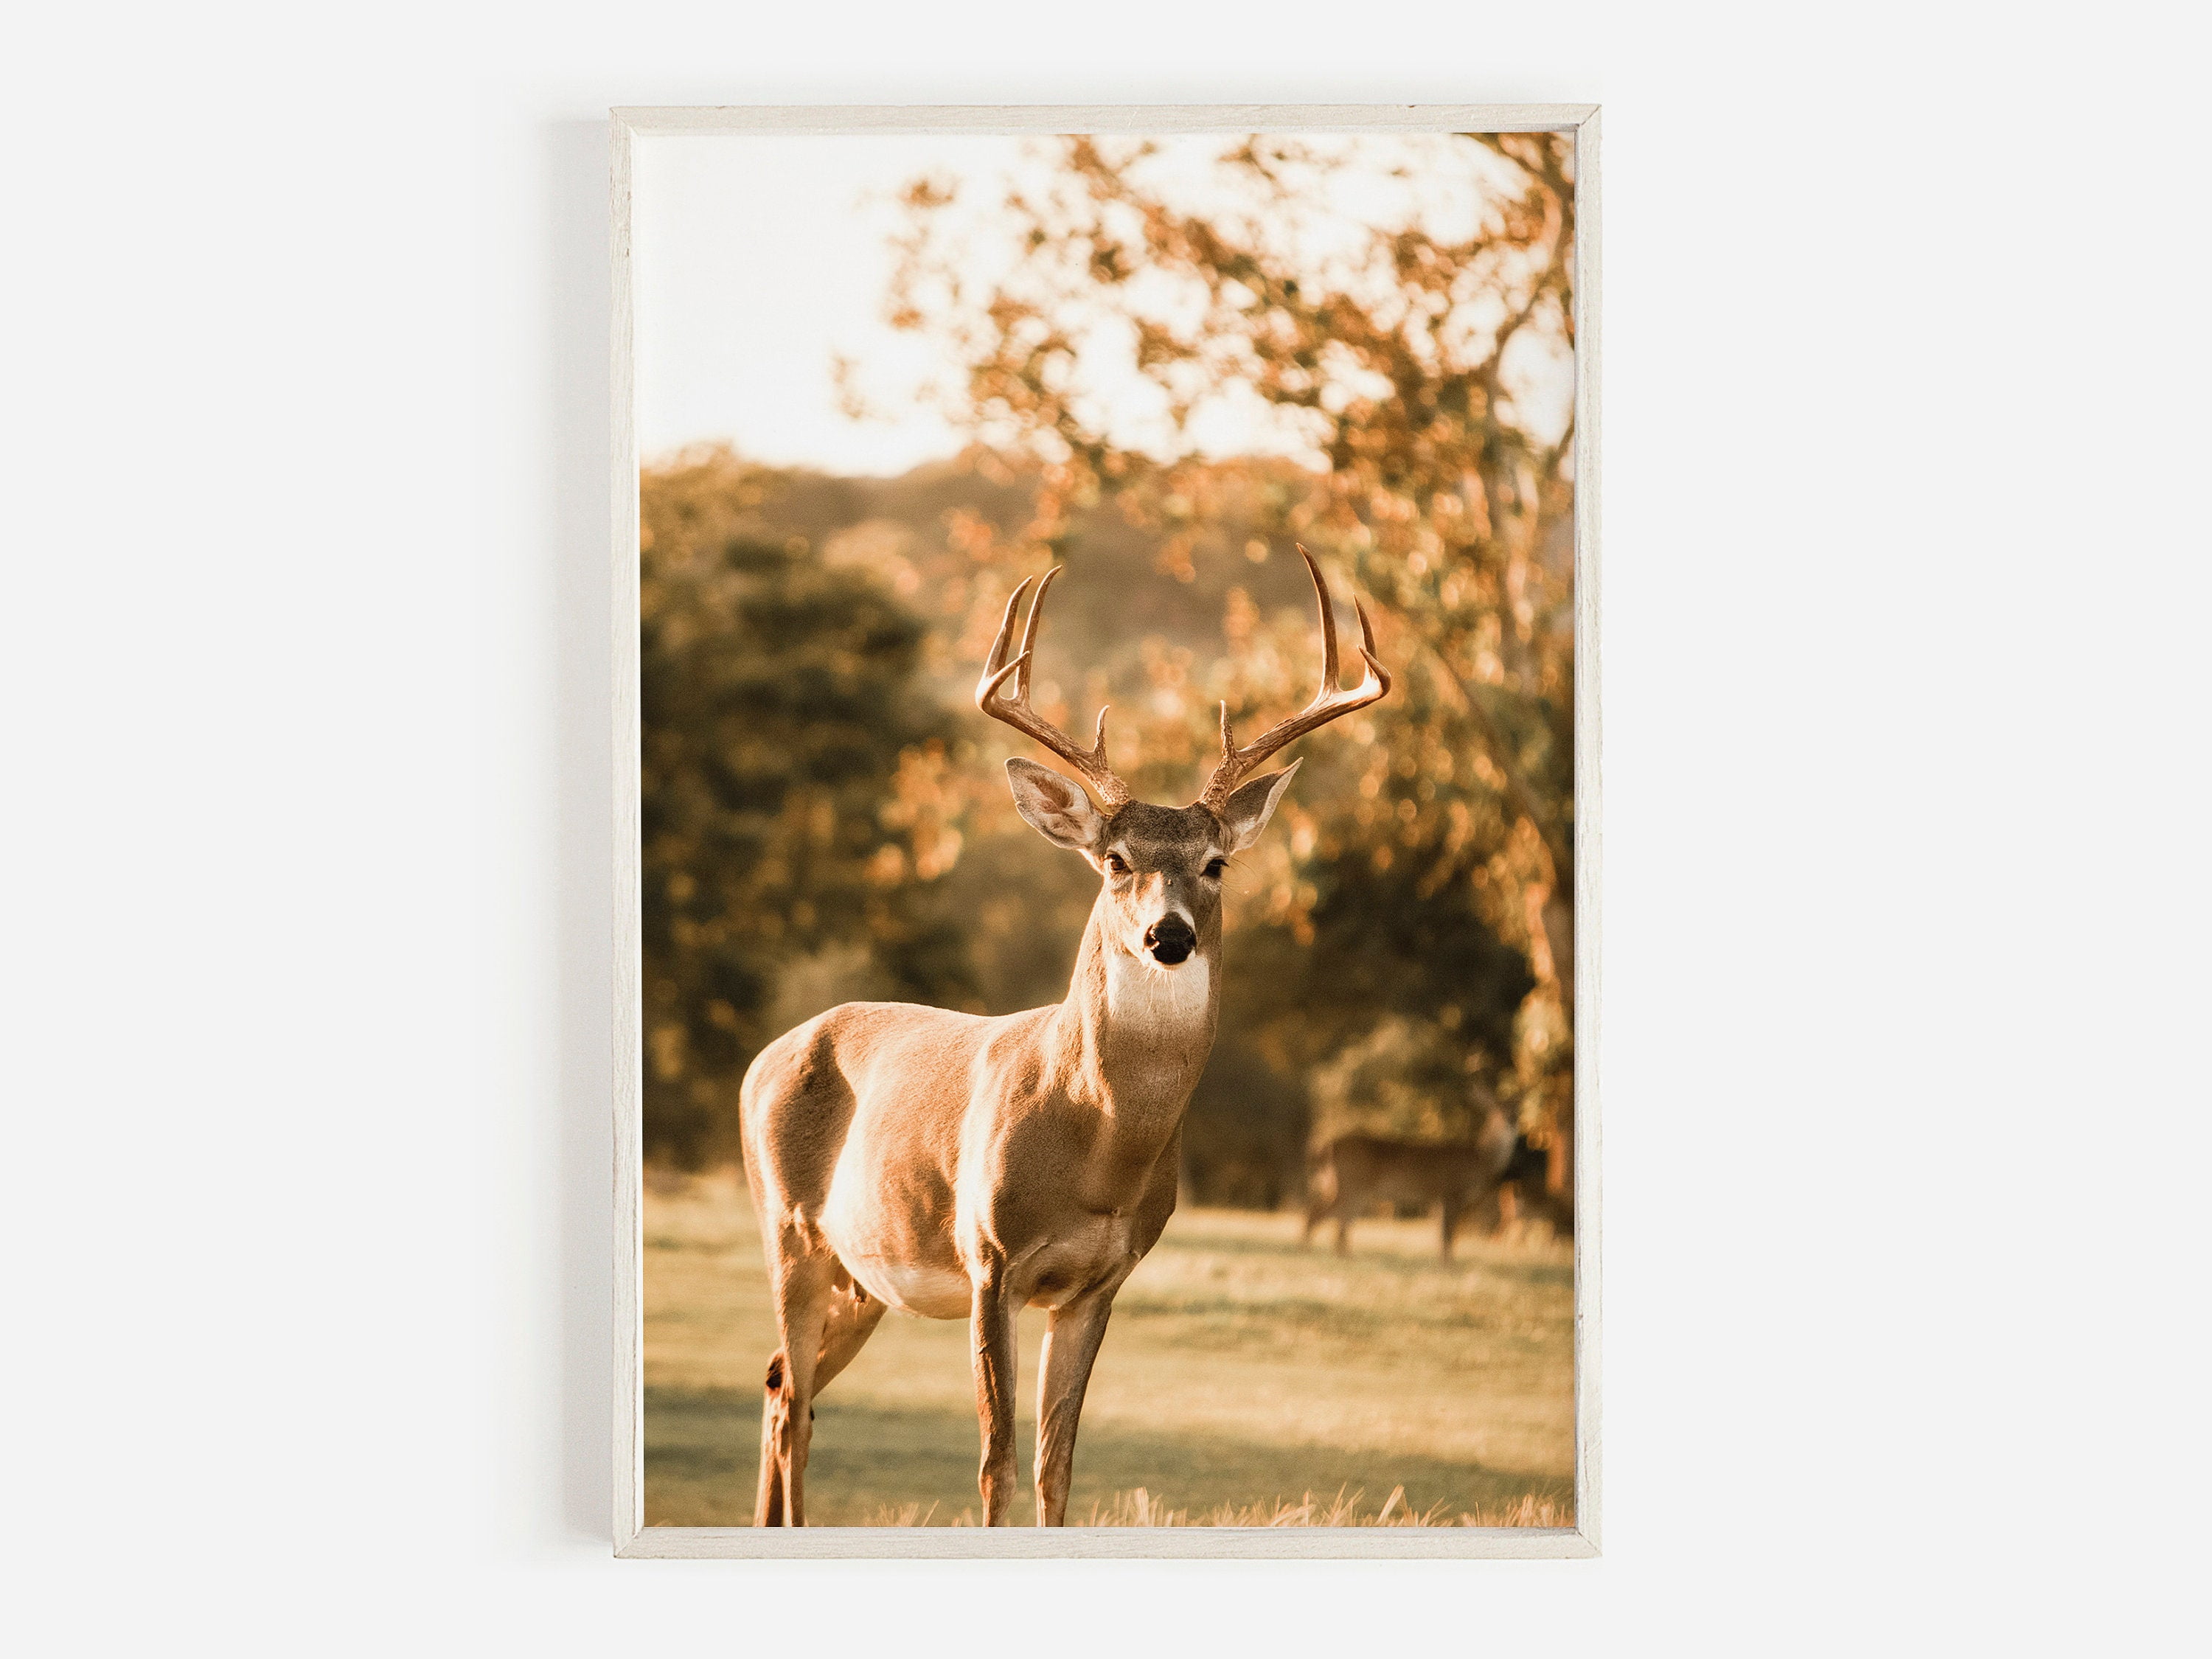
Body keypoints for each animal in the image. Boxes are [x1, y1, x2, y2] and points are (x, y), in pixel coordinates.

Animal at [737, 547, 1388, 1526]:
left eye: (1215, 863)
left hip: (863, 1274)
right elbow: (996, 1463)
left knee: (785, 1387)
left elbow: (1056, 1465)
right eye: (1115, 861)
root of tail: (765, 1058)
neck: (1097, 1148)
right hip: (788, 1229)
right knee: (790, 1399)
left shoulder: (1099, 1282)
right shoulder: (989, 1259)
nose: (1168, 935)